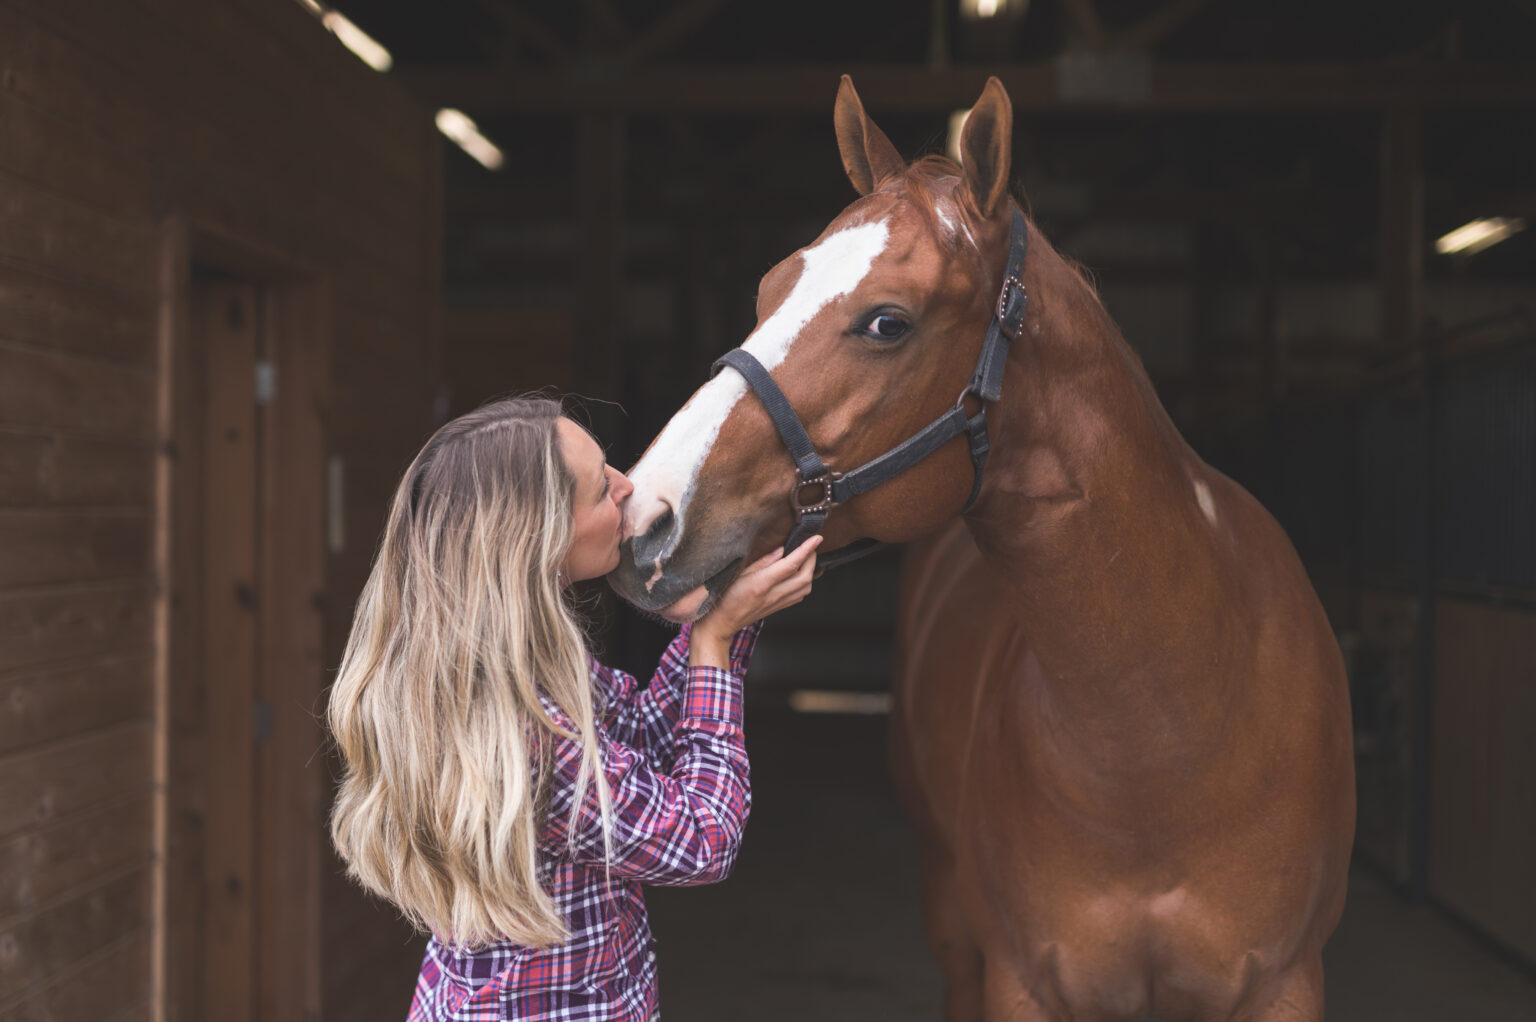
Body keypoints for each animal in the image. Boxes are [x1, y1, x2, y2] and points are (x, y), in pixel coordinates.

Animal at [609, 75, 1355, 1022]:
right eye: (771, 288)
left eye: (887, 323)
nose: (645, 516)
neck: (1168, 740)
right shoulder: (1019, 979)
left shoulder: (1287, 982)